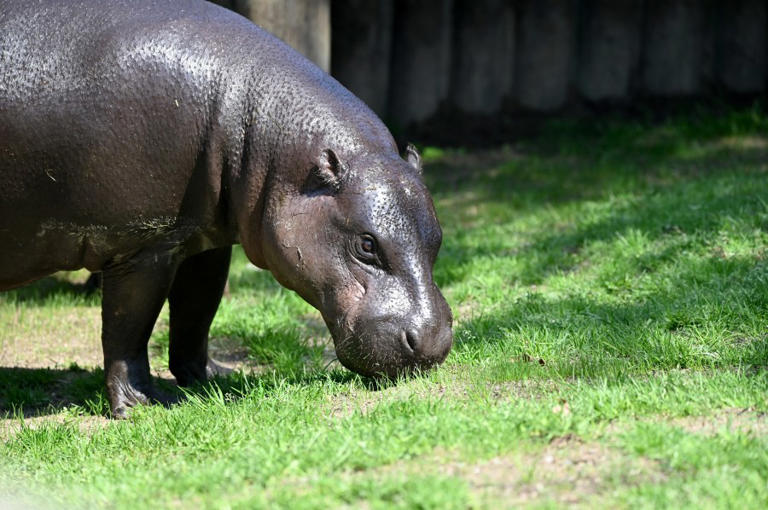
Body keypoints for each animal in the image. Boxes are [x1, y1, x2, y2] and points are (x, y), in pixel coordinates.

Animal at [0, 0, 452, 417]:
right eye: (366, 245)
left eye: (438, 238)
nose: (433, 344)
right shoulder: (140, 246)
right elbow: (129, 328)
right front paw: (143, 405)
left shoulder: (201, 240)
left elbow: (197, 312)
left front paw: (214, 379)